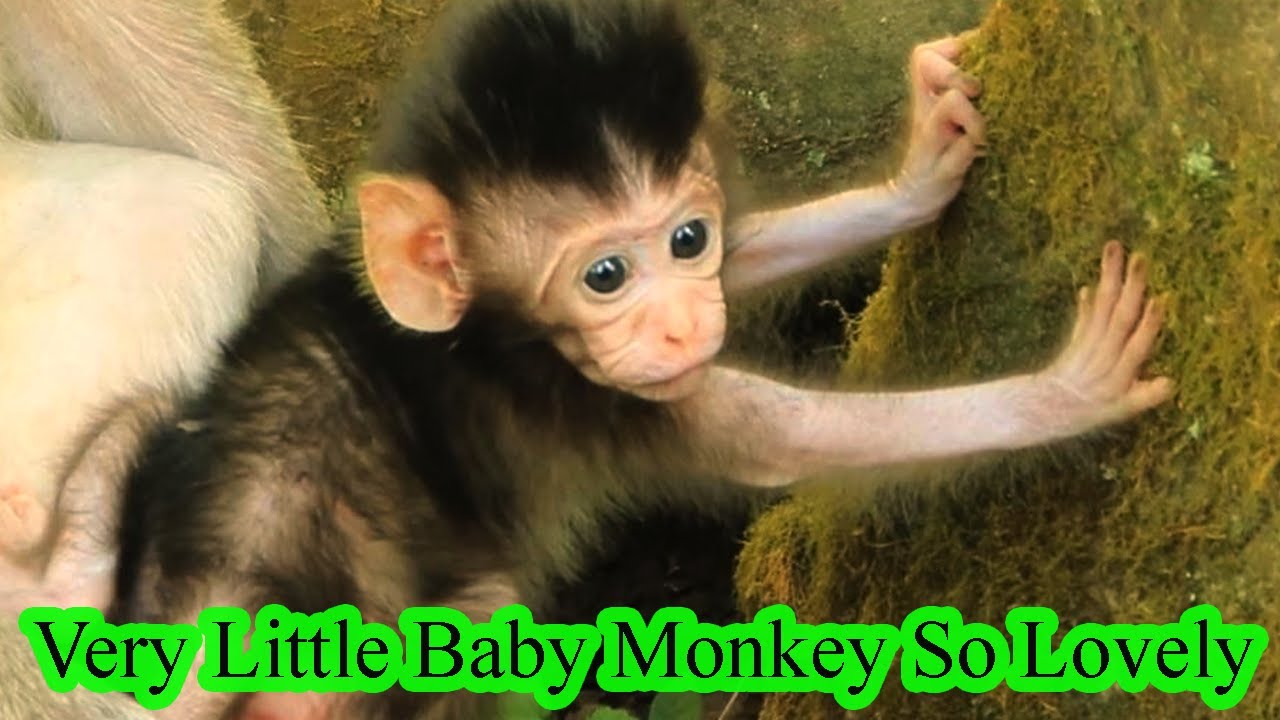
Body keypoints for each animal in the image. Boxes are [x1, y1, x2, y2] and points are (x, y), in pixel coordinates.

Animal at [85, 1, 1174, 718]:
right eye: (604, 274)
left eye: (687, 241)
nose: (680, 327)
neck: (483, 329)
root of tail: (209, 584)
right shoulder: (558, 390)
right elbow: (779, 441)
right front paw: (1063, 393)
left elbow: (750, 266)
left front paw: (920, 170)